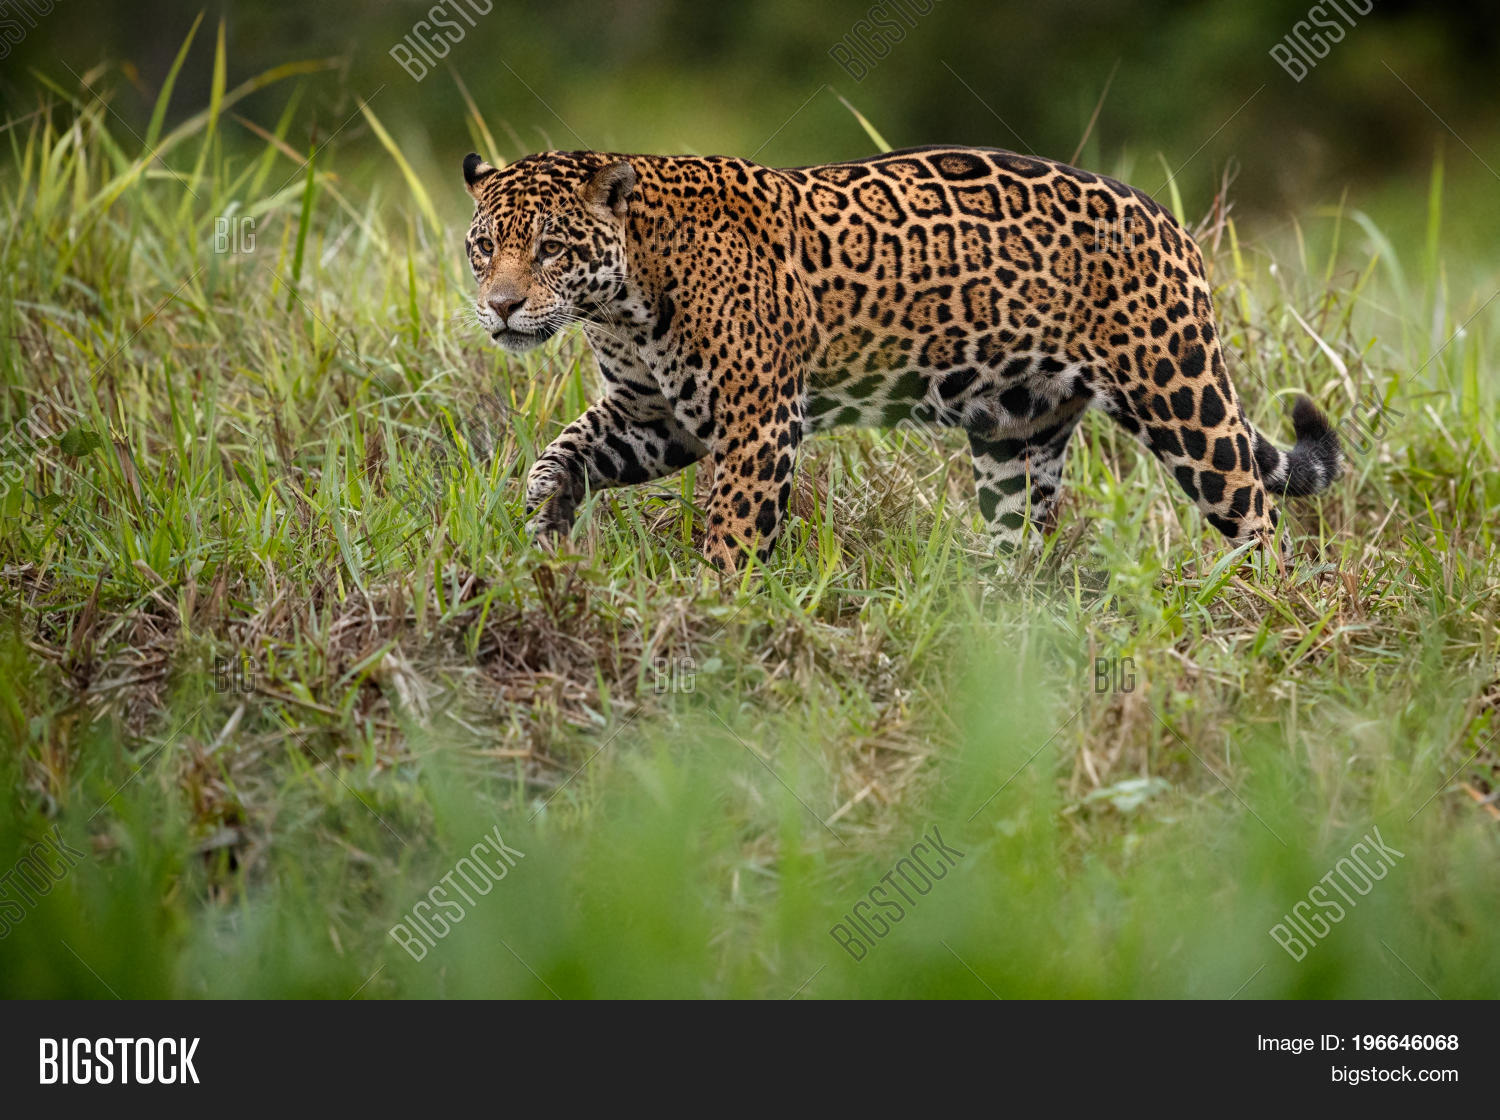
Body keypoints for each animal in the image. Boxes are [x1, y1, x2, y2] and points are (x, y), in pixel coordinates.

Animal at [461, 145, 1341, 571]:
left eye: (550, 248)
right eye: (483, 247)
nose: (501, 306)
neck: (622, 300)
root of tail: (1171, 221)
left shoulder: (756, 422)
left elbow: (735, 534)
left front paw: (712, 612)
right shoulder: (652, 415)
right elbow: (565, 449)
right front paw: (544, 520)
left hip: (1182, 399)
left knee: (1259, 521)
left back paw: (1268, 618)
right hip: (1016, 433)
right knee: (1020, 540)